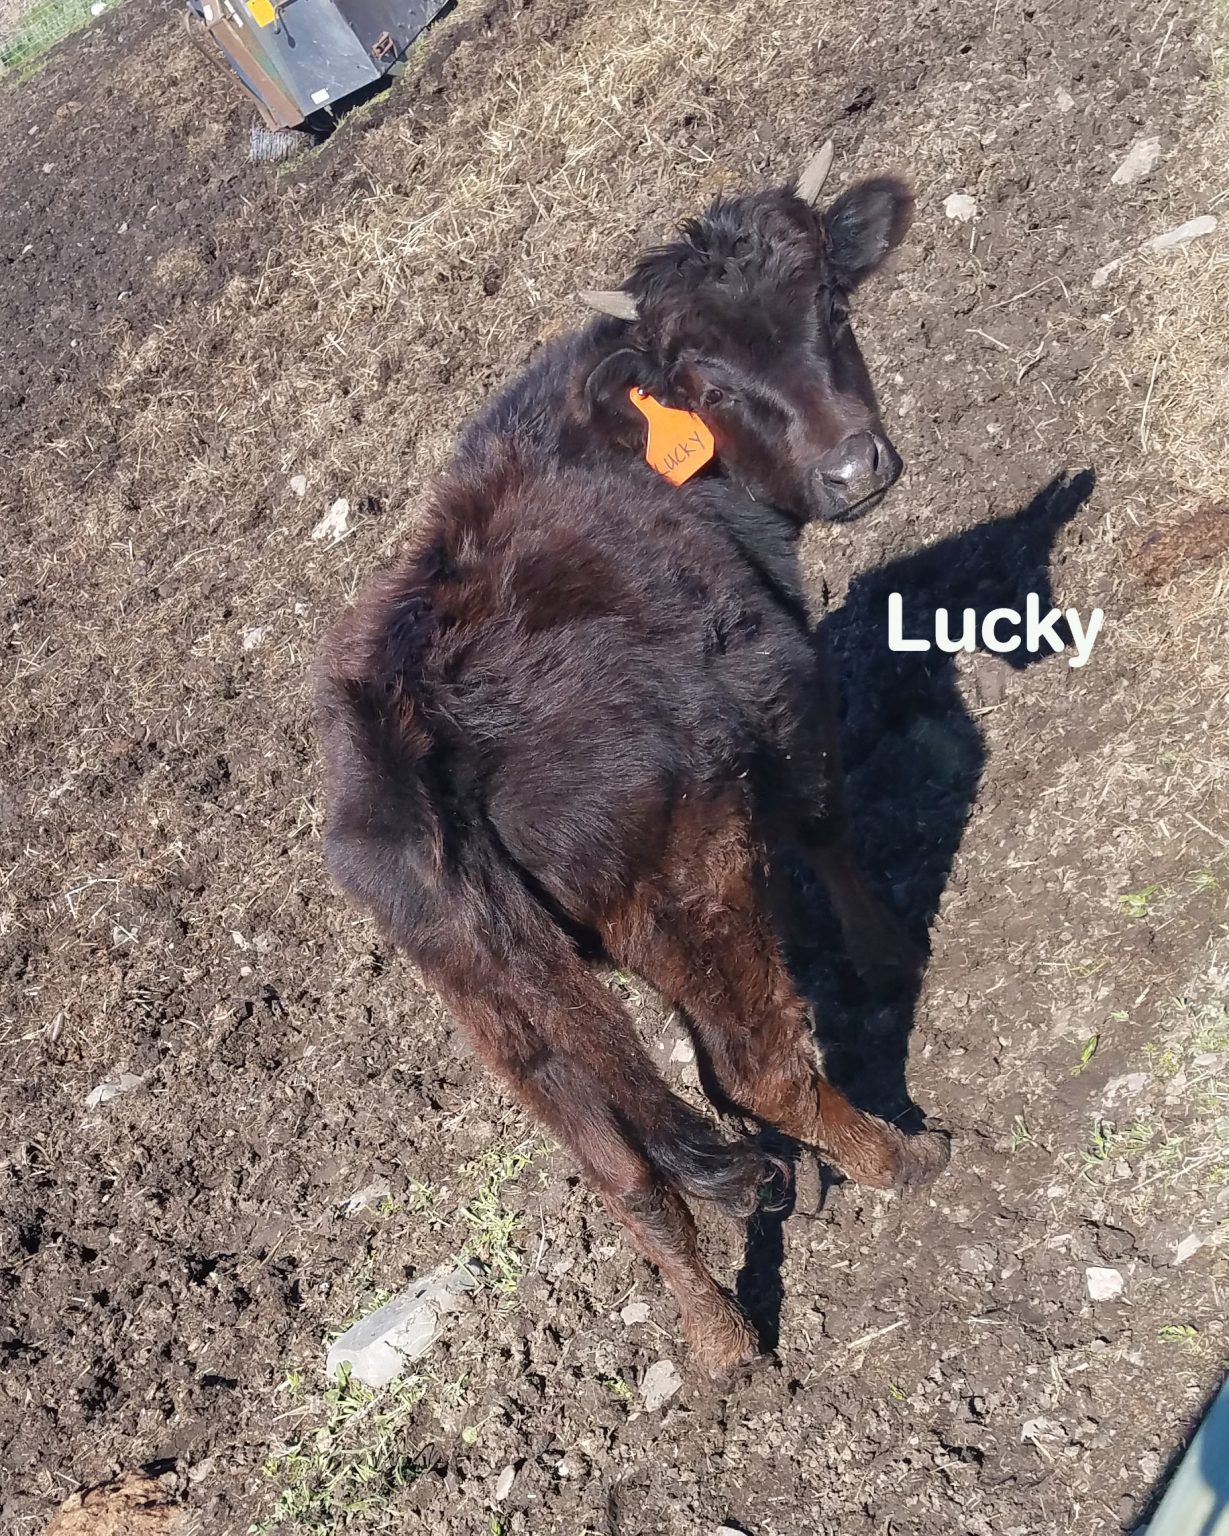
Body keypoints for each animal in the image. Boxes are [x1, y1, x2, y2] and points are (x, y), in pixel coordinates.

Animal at [316, 143, 950, 1375]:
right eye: (705, 381)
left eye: (830, 302)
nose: (855, 470)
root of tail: (412, 738)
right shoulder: (784, 689)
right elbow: (824, 829)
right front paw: (888, 951)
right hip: (681, 892)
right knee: (757, 1063)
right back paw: (900, 1157)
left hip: (505, 1008)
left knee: (624, 1175)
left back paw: (721, 1341)